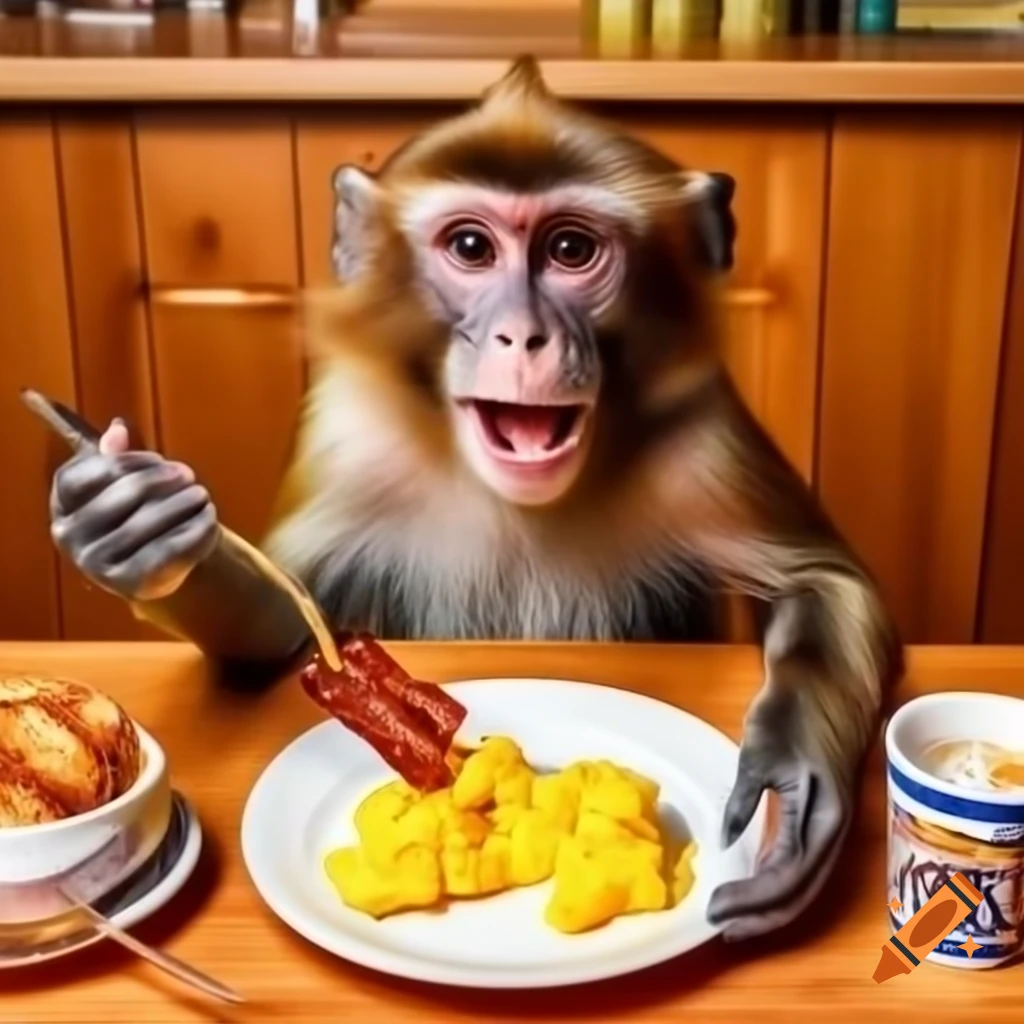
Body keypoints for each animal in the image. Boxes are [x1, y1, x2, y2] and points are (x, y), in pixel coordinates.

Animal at [47, 57, 903, 942]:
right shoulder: (346, 432)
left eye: (570, 249)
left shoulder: (702, 431)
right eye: (470, 246)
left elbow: (823, 581)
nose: (523, 335)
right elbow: (284, 630)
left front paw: (793, 795)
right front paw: (138, 530)